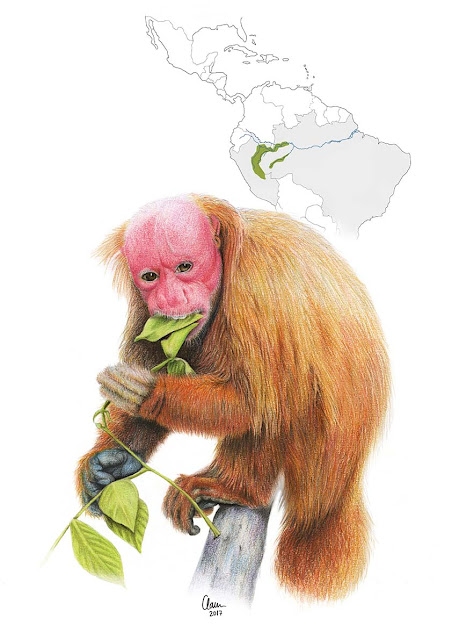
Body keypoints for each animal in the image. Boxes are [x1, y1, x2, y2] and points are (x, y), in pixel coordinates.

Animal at [76, 194, 390, 600]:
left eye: (185, 267)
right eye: (150, 277)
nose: (171, 298)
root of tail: (341, 487)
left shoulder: (259, 287)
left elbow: (255, 404)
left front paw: (146, 392)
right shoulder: (147, 313)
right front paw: (111, 464)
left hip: (317, 457)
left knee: (277, 399)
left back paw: (237, 489)